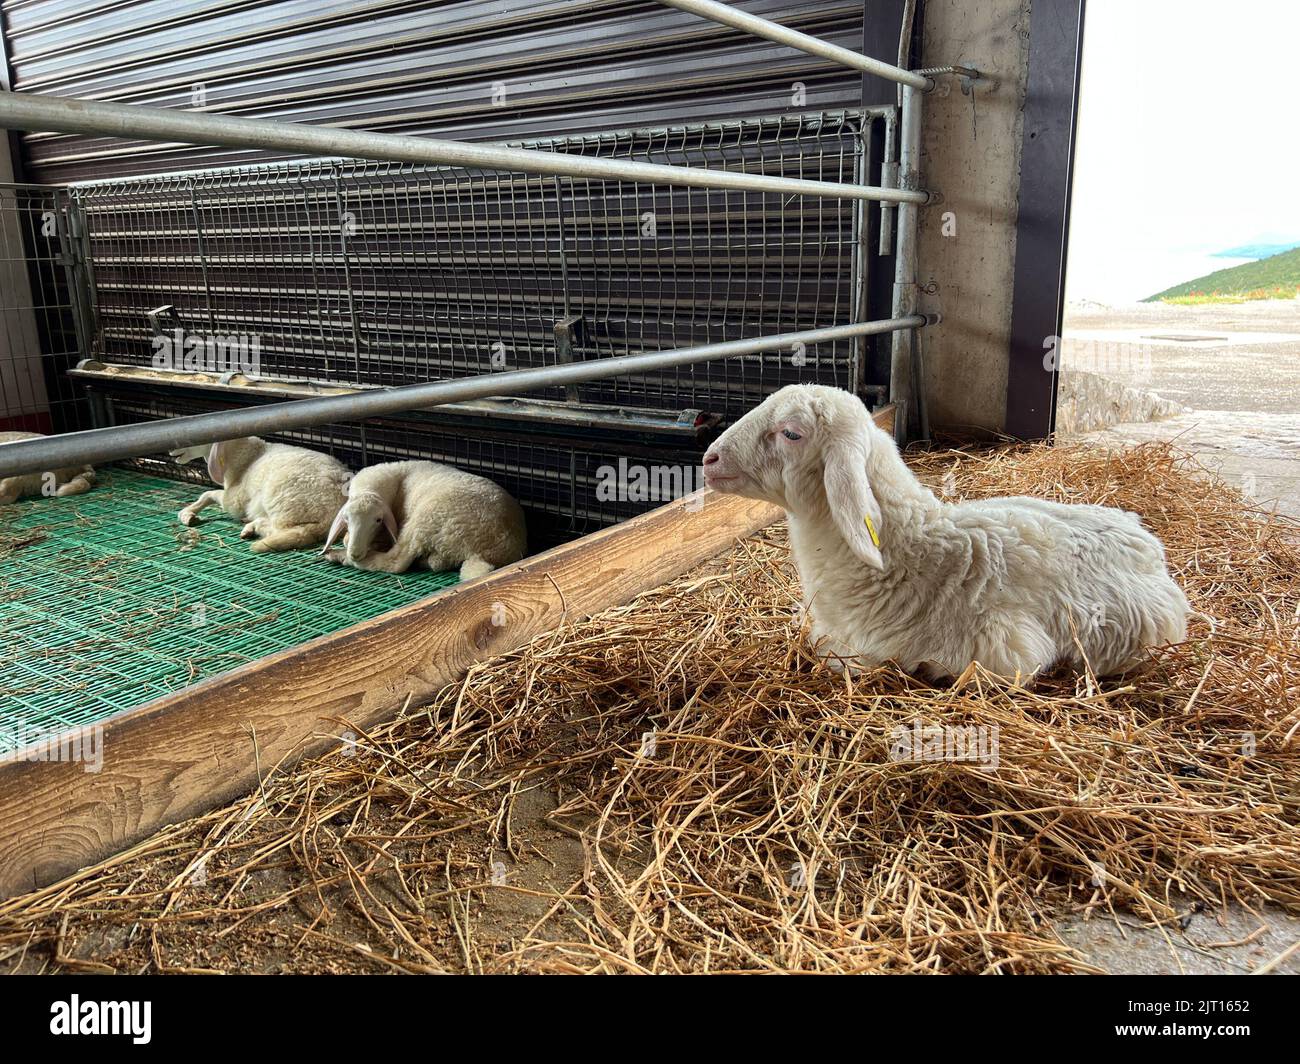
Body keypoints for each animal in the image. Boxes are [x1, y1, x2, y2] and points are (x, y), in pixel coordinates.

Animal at [172, 437, 351, 552]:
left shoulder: (235, 499)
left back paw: (254, 526)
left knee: (284, 530)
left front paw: (186, 513)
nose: (171, 449)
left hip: (281, 499)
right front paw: (188, 514)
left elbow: (208, 494)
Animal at [321, 460, 526, 581]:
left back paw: (340, 557)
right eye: (346, 519)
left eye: (378, 519)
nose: (355, 553)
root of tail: (484, 552)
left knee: (394, 562)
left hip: (425, 519)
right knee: (436, 563)